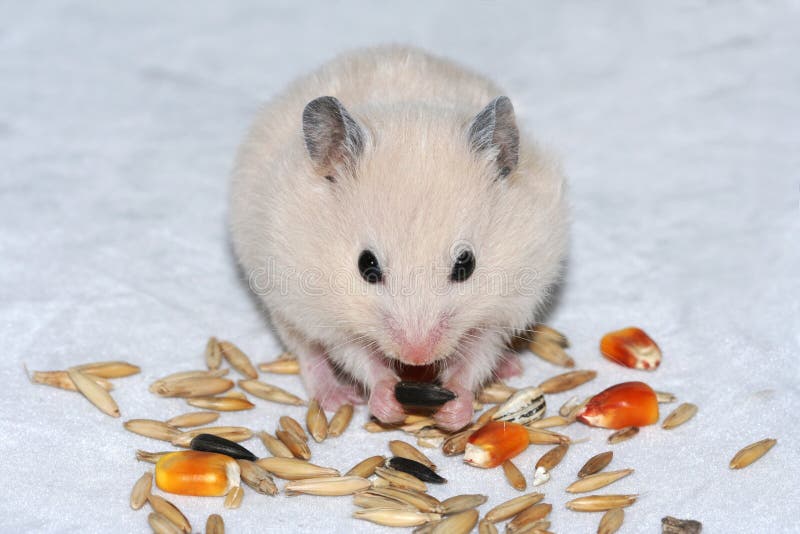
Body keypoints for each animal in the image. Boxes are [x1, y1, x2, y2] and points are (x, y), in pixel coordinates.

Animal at [229, 46, 568, 431]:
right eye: (366, 266)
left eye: (466, 265)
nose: (417, 356)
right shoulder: (332, 314)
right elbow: (357, 355)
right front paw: (388, 403)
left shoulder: (499, 309)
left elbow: (476, 356)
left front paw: (453, 412)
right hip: (284, 304)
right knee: (307, 351)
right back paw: (335, 398)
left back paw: (511, 367)